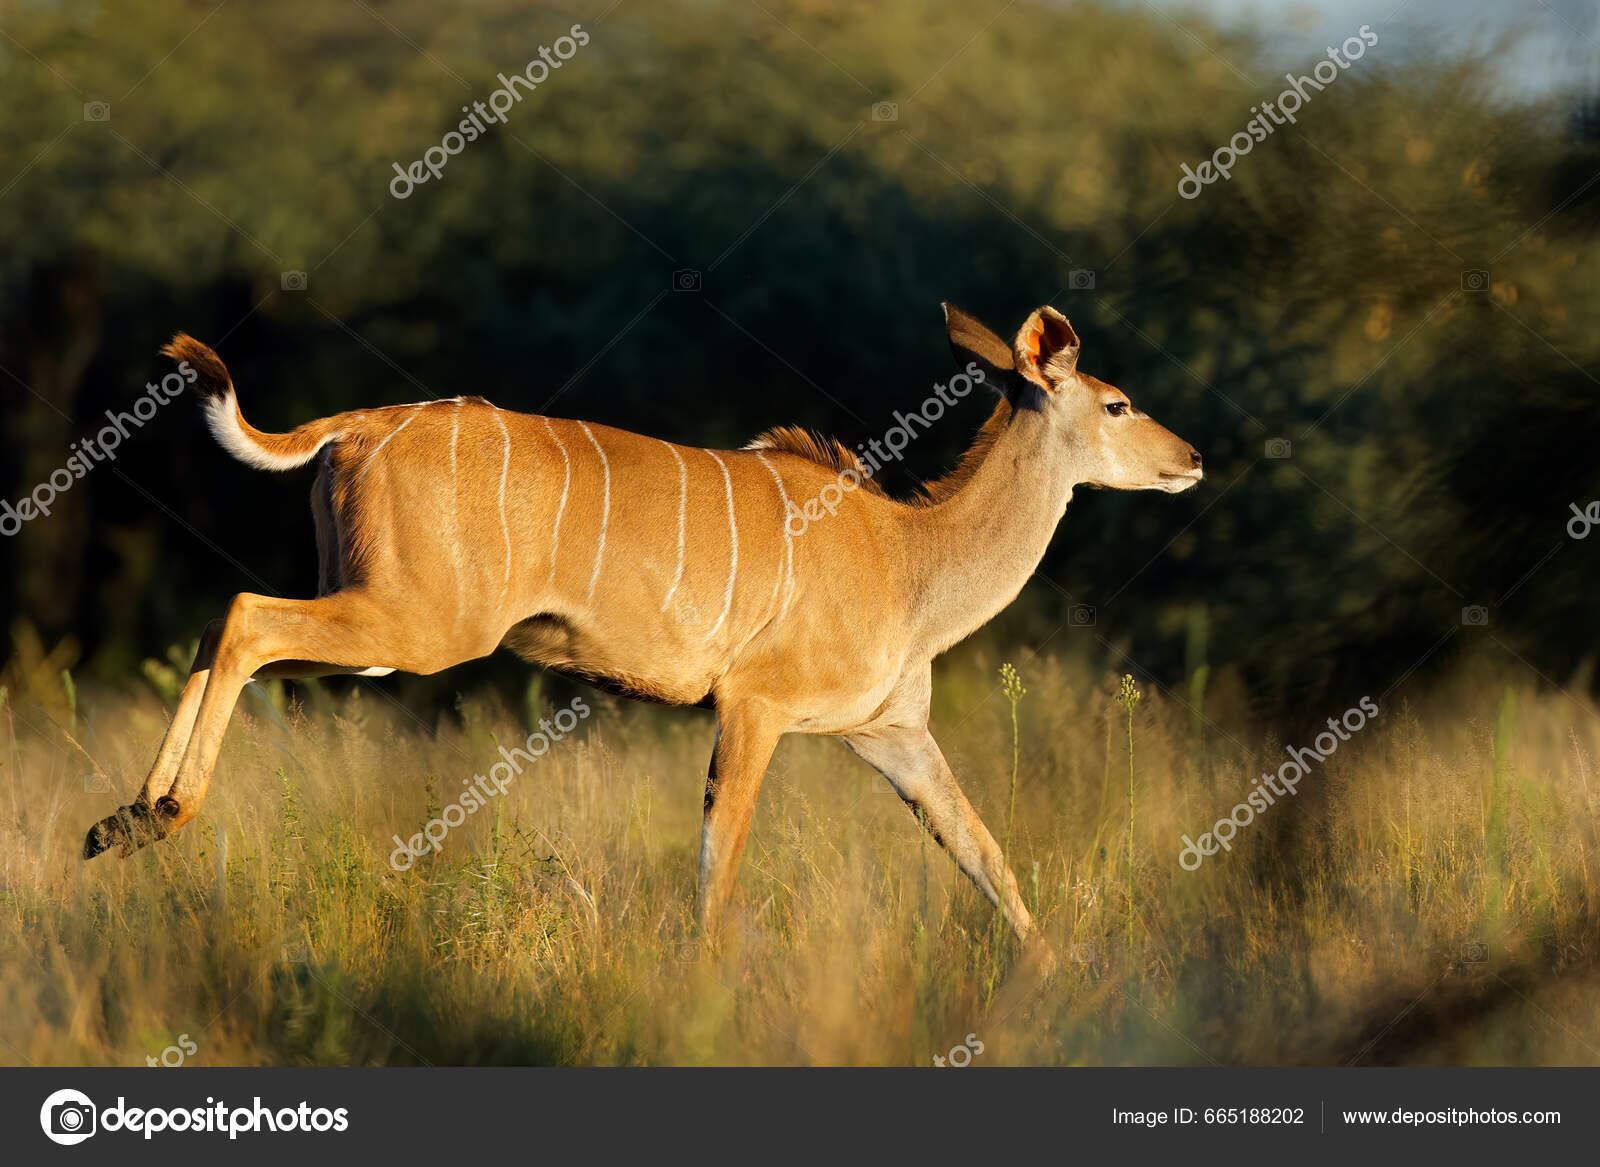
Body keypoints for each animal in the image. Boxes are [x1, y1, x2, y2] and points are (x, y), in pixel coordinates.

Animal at [83, 303, 1202, 973]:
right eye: (1116, 401)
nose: (1190, 458)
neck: (907, 558)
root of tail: (352, 427)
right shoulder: (754, 708)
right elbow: (720, 855)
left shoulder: (890, 735)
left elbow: (985, 853)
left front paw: (1054, 979)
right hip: (416, 625)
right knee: (242, 615)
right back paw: (158, 815)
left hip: (377, 626)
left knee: (224, 625)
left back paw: (120, 822)